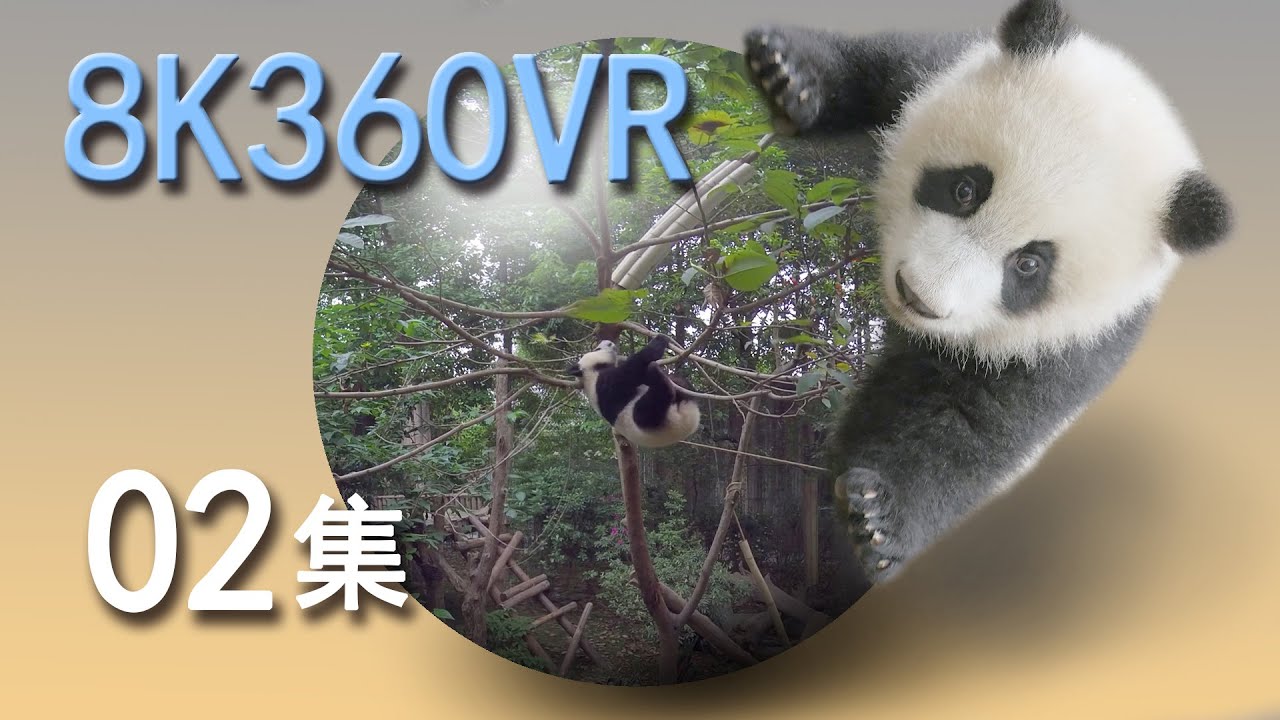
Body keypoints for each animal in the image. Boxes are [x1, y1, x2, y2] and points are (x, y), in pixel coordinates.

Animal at [569, 335, 702, 448]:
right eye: (597, 349)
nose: (609, 342)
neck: (588, 375)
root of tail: (686, 422)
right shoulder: (603, 384)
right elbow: (632, 369)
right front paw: (659, 340)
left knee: (681, 384)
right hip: (649, 419)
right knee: (647, 409)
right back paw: (658, 376)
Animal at [745, 0, 1233, 583]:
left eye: (1028, 265)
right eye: (965, 188)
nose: (918, 294)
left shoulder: (1074, 343)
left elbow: (968, 424)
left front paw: (879, 520)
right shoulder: (934, 67)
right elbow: (875, 67)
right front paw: (790, 76)